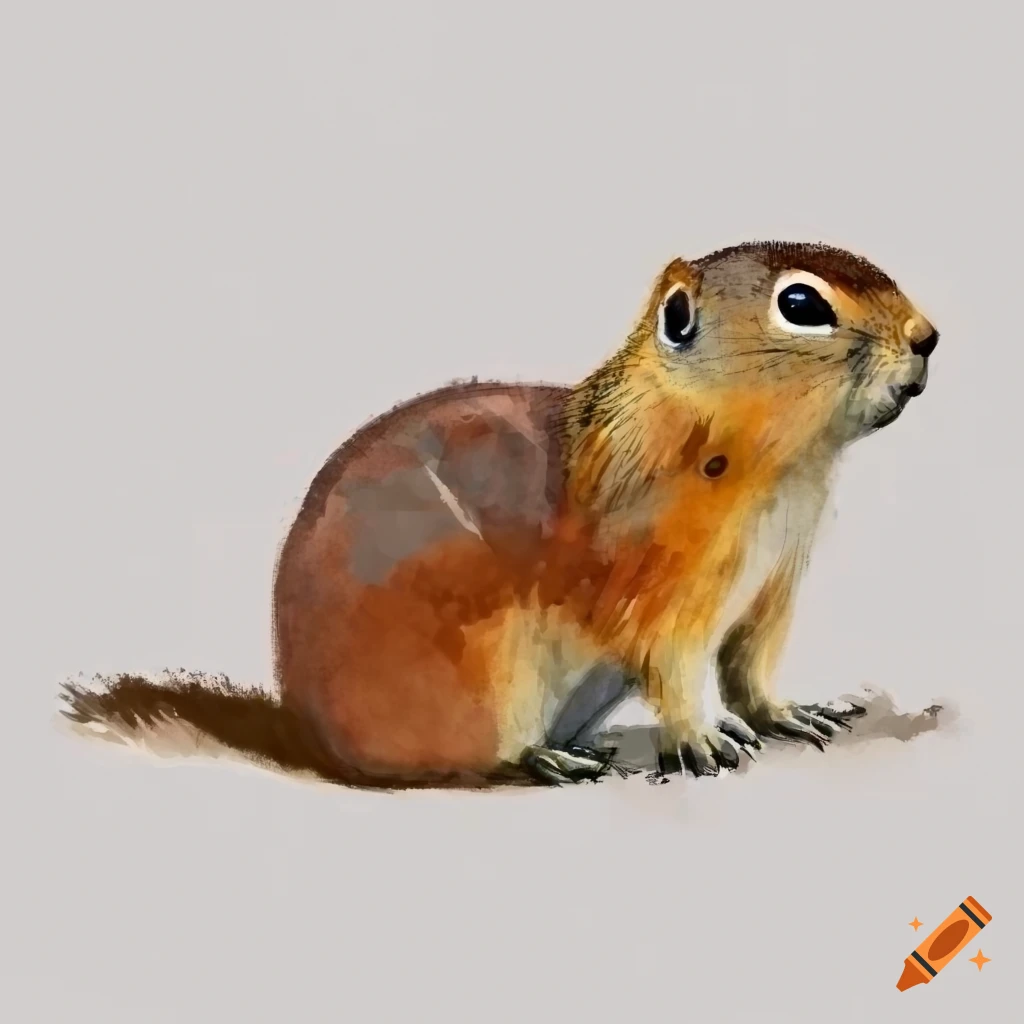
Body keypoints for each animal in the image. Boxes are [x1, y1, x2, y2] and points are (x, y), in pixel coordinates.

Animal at [61, 241, 938, 789]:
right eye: (802, 303)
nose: (928, 337)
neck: (779, 466)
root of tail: (305, 730)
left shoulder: (772, 589)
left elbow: (751, 667)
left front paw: (795, 713)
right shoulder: (660, 586)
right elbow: (675, 667)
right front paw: (701, 738)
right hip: (487, 674)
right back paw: (550, 762)